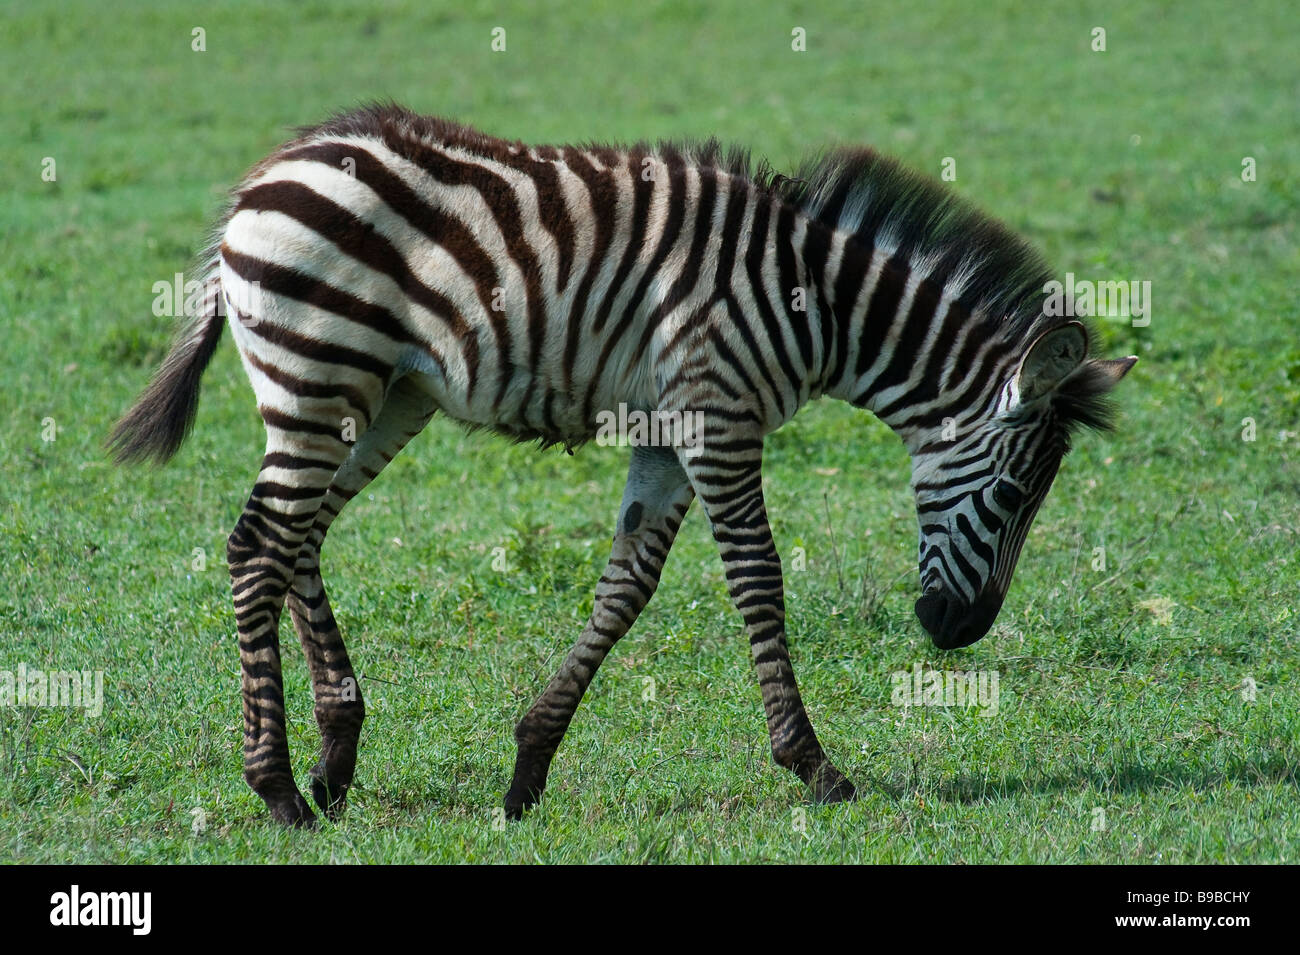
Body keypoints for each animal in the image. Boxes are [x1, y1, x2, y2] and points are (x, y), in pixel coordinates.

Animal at [109, 104, 1136, 826]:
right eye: (1015, 492)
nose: (958, 632)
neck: (813, 302)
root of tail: (268, 172)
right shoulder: (720, 416)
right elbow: (758, 578)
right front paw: (815, 767)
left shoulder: (670, 430)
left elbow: (627, 586)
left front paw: (528, 765)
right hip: (318, 371)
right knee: (257, 547)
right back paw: (279, 788)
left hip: (383, 393)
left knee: (301, 538)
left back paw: (336, 760)